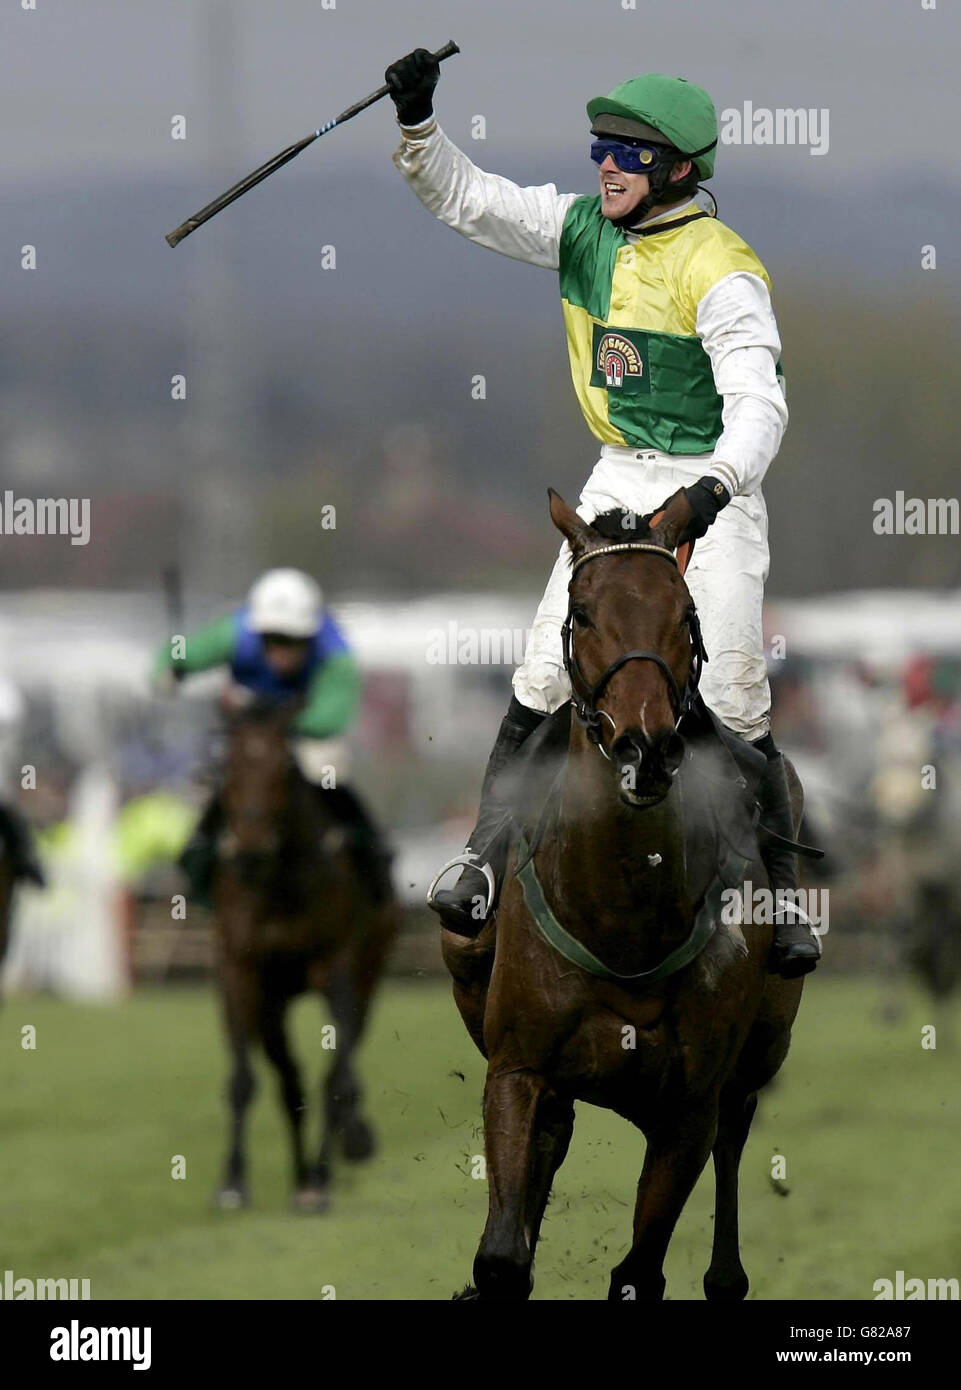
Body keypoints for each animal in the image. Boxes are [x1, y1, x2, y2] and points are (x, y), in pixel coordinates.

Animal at [210, 700, 399, 1212]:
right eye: (228, 766)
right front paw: (233, 1182)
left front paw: (321, 1178)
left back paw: (332, 1156)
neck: (279, 886)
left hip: (369, 972)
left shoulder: (338, 967)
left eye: (283, 769)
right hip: (272, 1004)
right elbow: (243, 1079)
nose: (251, 851)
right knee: (288, 1080)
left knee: (342, 1064)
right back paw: (298, 1171)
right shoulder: (240, 970)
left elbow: (337, 1078)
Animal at [442, 490, 807, 1300]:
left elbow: (639, 1269)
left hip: (756, 1057)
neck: (621, 909)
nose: (646, 747)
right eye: (581, 613)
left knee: (735, 1139)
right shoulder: (517, 1070)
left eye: (685, 612)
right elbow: (502, 1258)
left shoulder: (686, 1110)